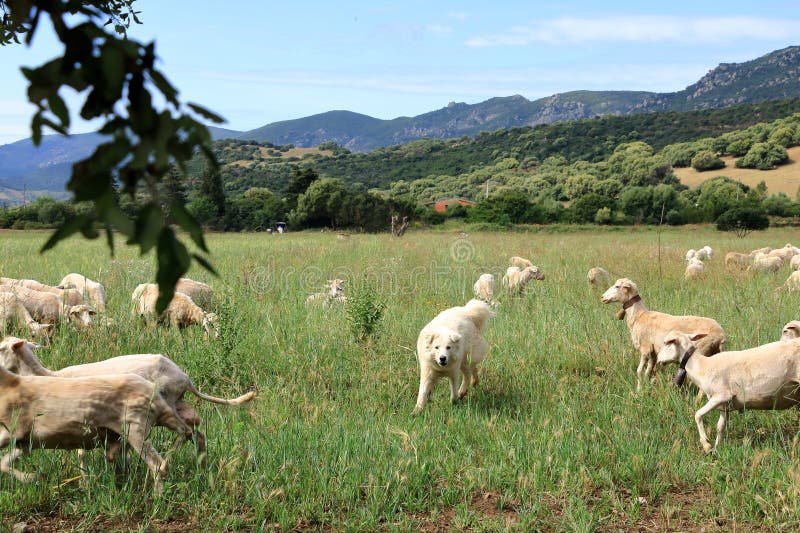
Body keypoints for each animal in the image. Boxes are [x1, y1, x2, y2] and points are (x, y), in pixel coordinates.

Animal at [0, 338, 256, 463]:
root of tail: (185, 378)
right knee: (196, 431)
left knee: (184, 432)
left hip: (162, 405)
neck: (50, 375)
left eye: (2, 348)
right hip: (179, 404)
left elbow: (81, 454)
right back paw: (200, 464)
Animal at [657, 330, 800, 453]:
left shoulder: (721, 396)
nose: (658, 359)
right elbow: (720, 427)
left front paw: (706, 445)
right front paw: (716, 449)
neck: (701, 366)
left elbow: (698, 415)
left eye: (666, 343)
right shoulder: (724, 405)